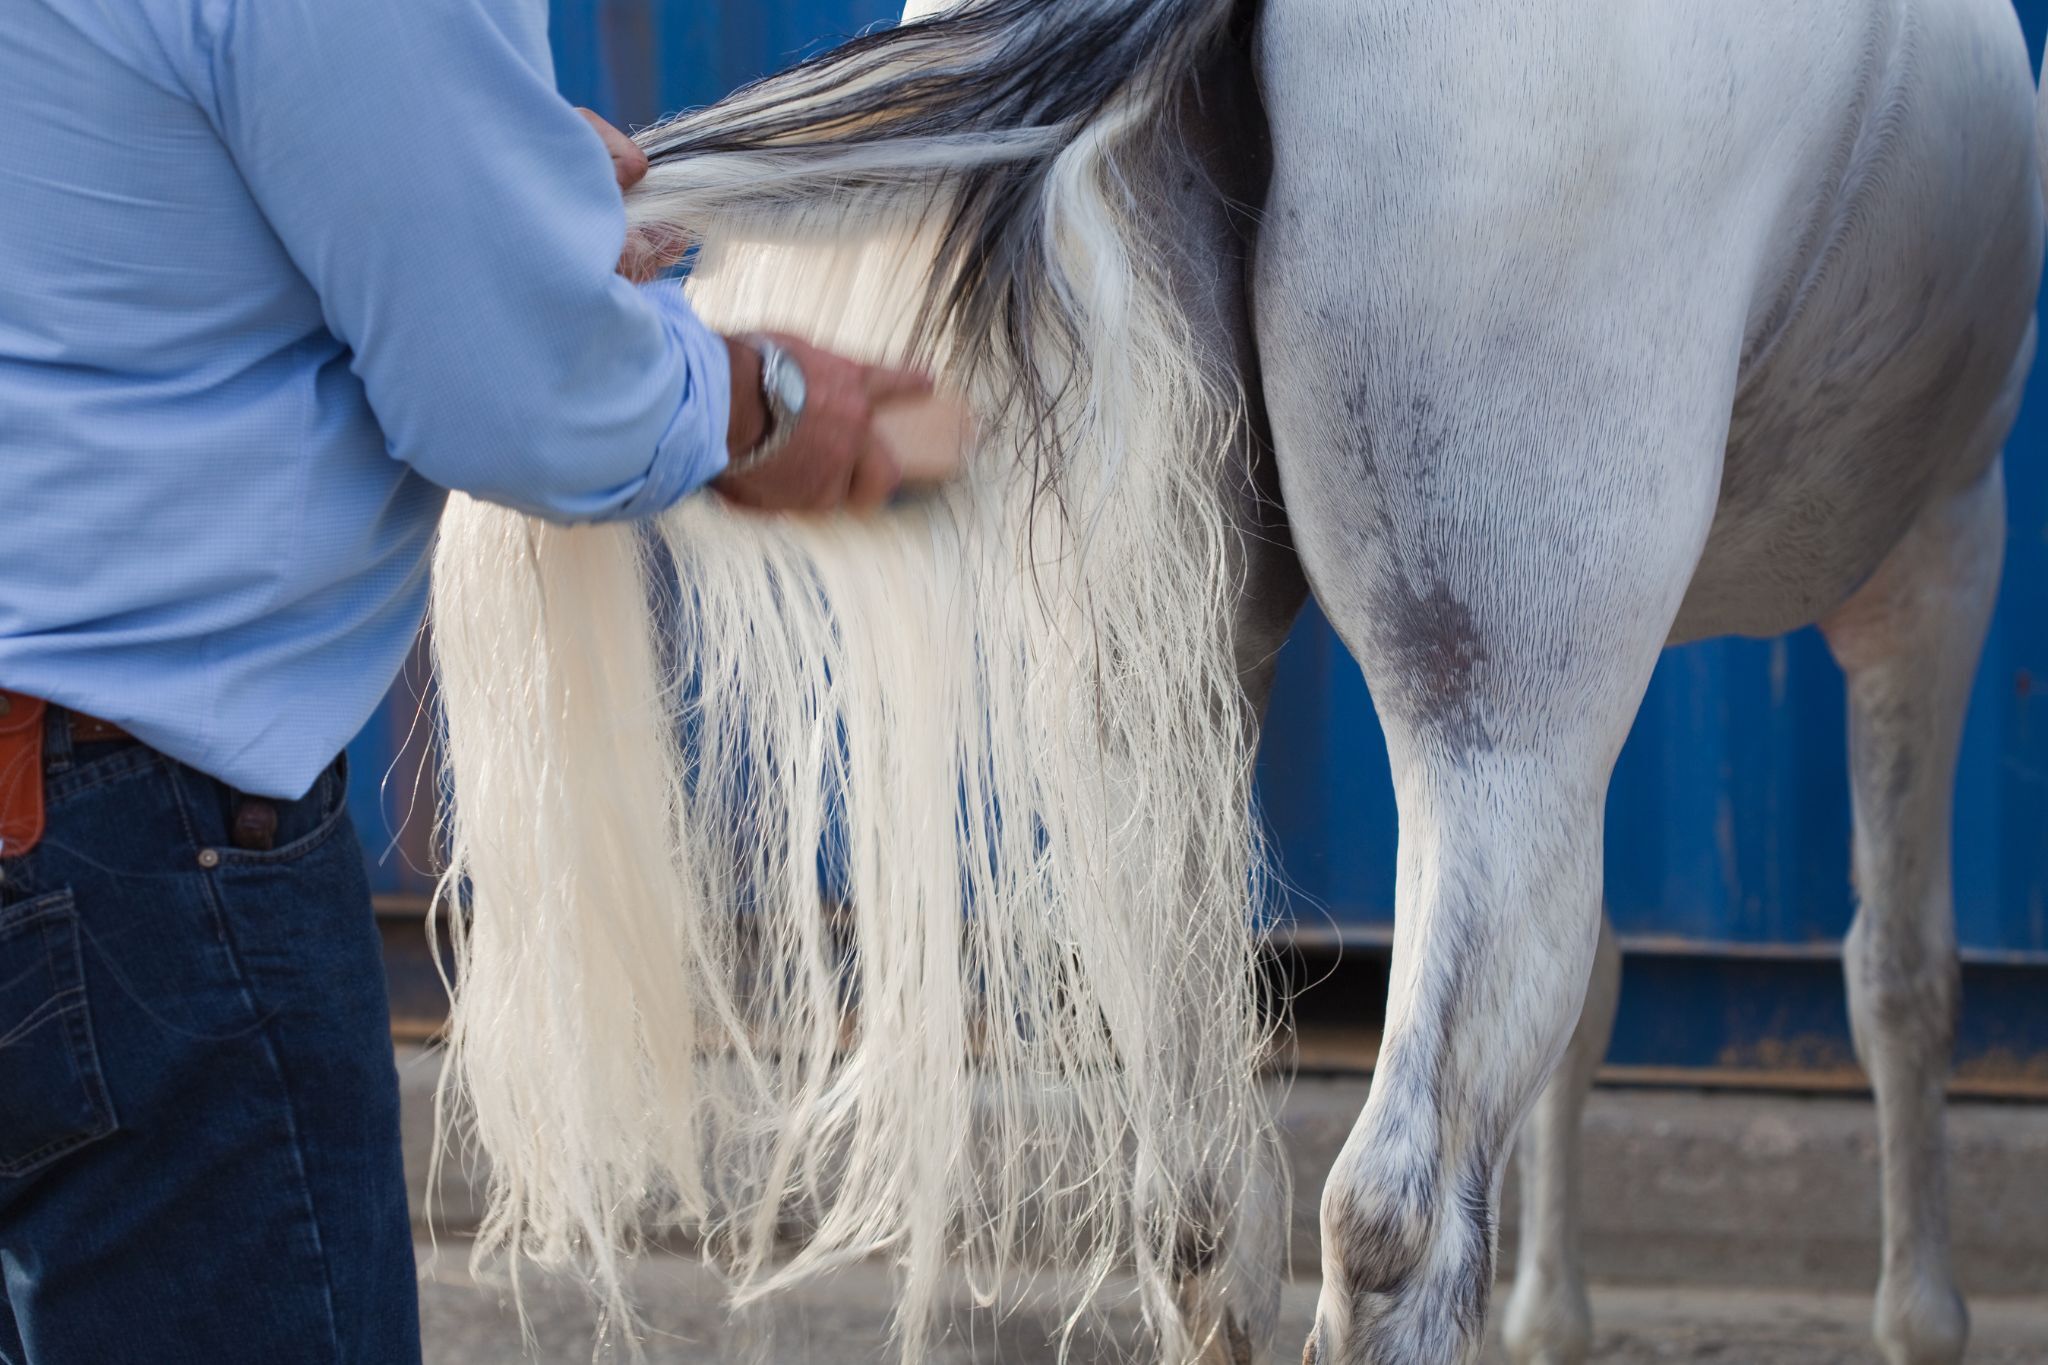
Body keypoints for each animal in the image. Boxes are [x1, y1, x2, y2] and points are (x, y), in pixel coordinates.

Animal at [428, 2, 2043, 1363]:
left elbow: (1600, 997)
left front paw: (1556, 1314)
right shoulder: (1937, 561)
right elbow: (1900, 975)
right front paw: (1921, 1319)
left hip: (1159, 708)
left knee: (1203, 1208)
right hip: (1498, 707)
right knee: (1393, 1210)